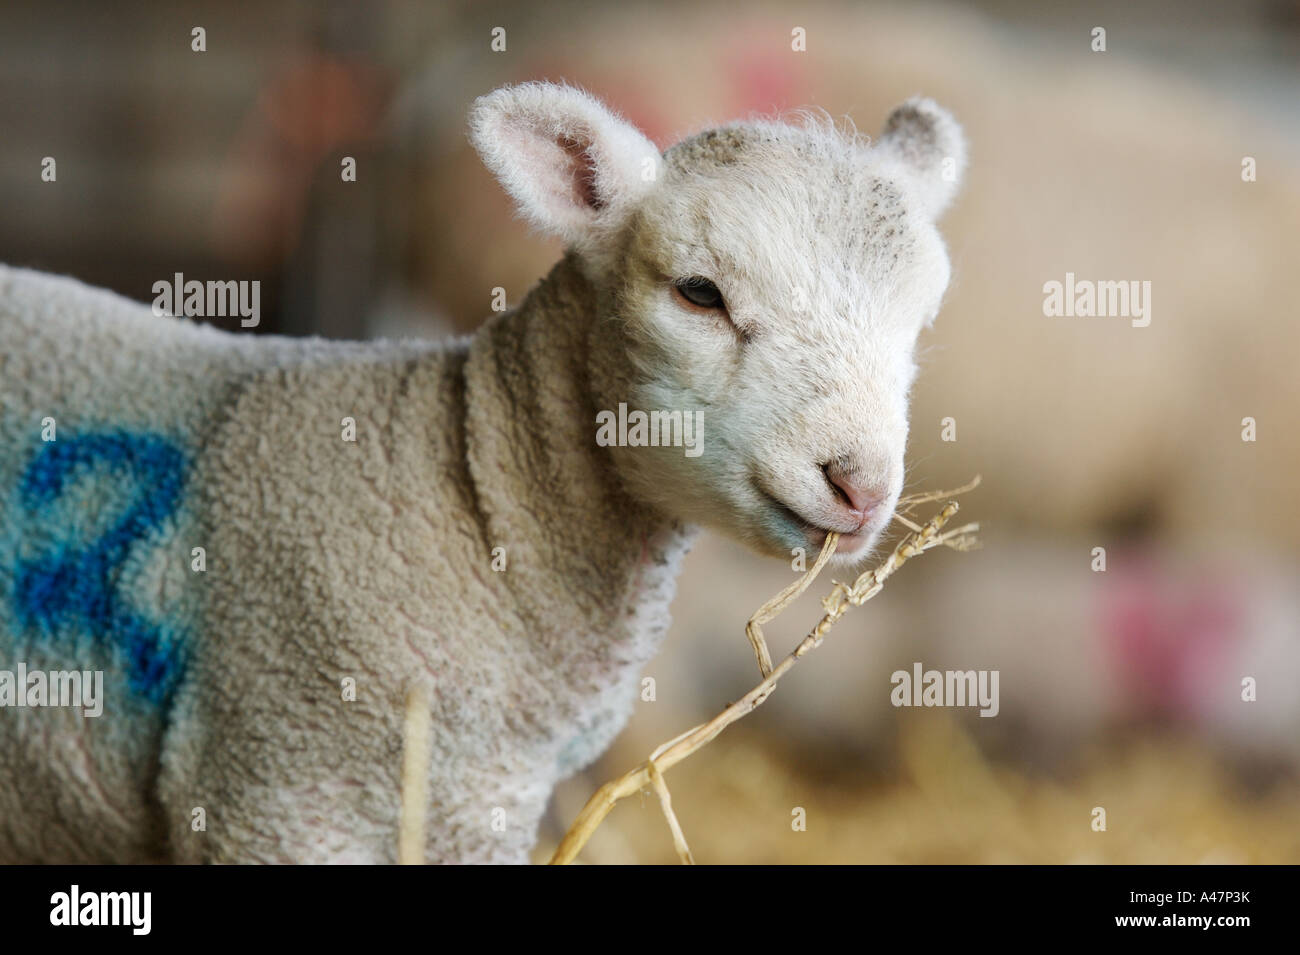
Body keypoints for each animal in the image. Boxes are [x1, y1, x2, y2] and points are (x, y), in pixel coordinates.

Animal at [0, 82, 965, 863]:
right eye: (699, 292)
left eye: (923, 319)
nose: (859, 484)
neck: (463, 501)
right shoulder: (275, 788)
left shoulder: (481, 803)